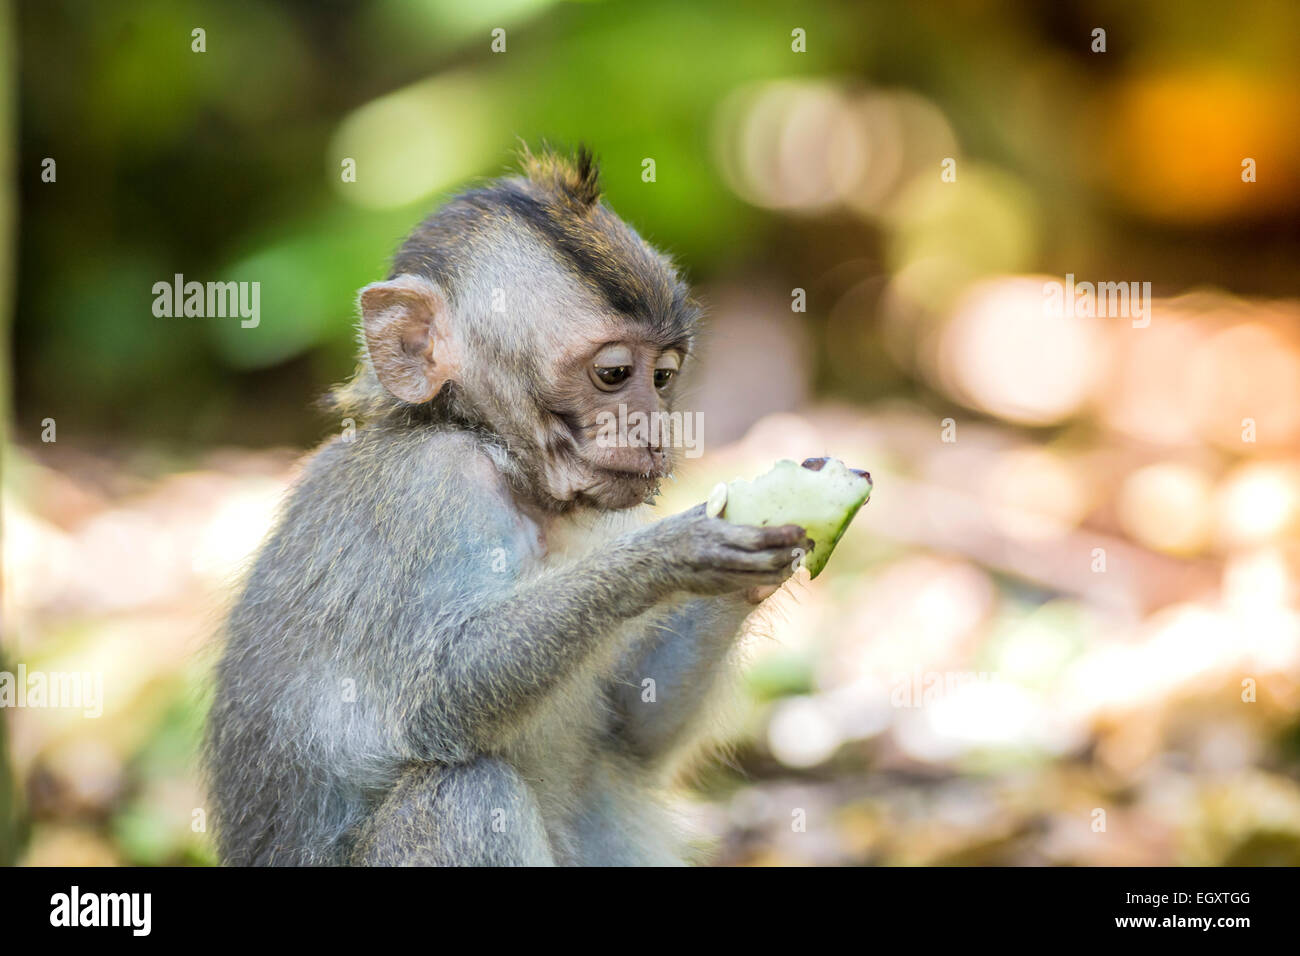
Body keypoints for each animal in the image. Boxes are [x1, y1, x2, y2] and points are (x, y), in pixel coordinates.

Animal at [203, 146, 813, 866]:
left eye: (662, 377)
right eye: (613, 374)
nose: (656, 431)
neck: (501, 457)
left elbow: (634, 728)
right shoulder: (429, 488)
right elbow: (436, 695)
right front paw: (672, 553)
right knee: (464, 791)